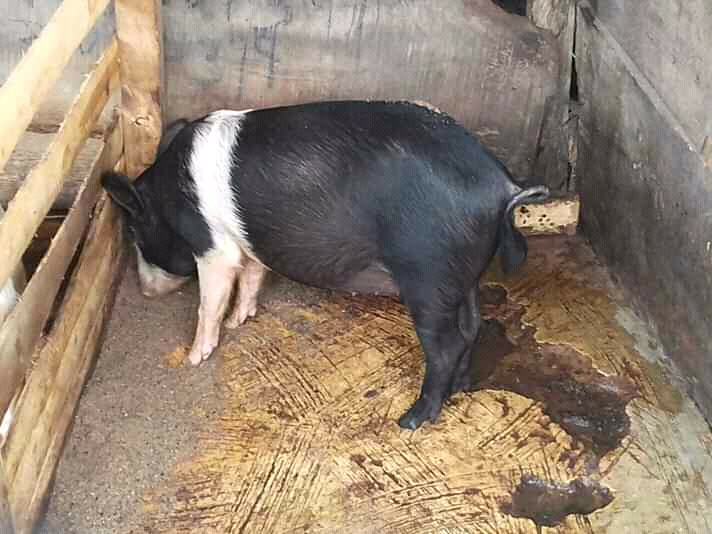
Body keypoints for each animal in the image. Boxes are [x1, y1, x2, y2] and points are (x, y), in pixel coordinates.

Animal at [101, 100, 548, 430]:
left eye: (135, 232)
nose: (144, 291)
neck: (168, 195)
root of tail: (502, 187)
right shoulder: (249, 245)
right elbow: (252, 277)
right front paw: (239, 321)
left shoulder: (214, 248)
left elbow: (209, 301)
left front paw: (195, 358)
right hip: (461, 275)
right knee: (472, 327)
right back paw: (461, 386)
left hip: (427, 277)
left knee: (447, 344)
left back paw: (411, 419)